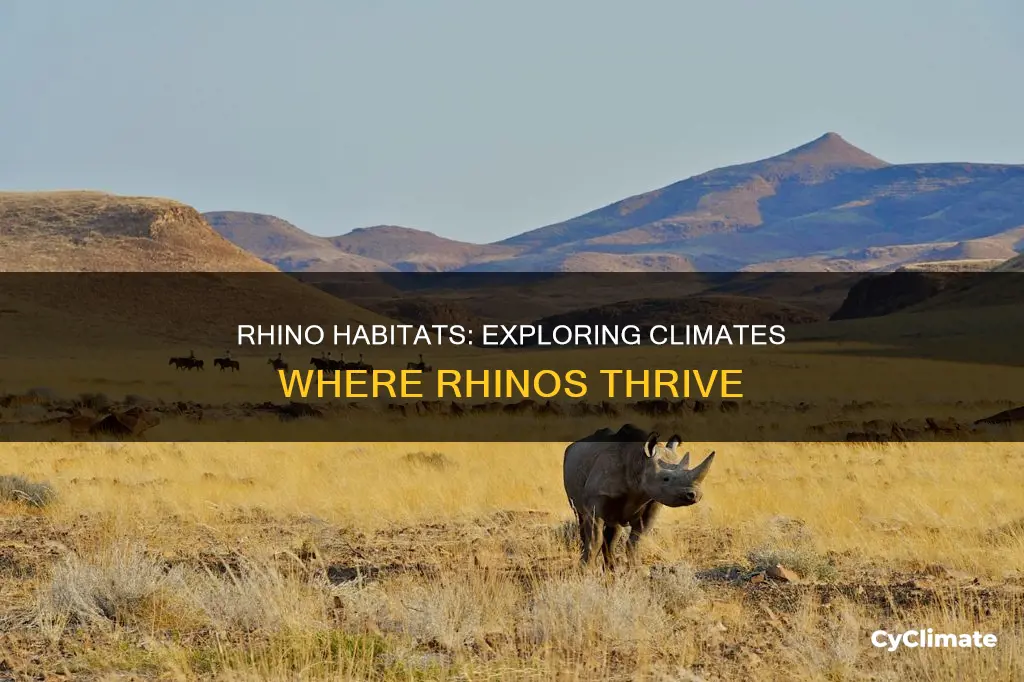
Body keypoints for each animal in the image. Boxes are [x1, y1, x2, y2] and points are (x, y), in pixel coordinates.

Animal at [563, 423, 715, 570]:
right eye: (665, 479)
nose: (695, 495)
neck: (639, 461)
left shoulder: (652, 502)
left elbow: (636, 540)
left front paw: (638, 570)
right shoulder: (596, 498)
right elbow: (595, 539)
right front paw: (586, 571)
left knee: (614, 527)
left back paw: (612, 569)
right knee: (581, 518)